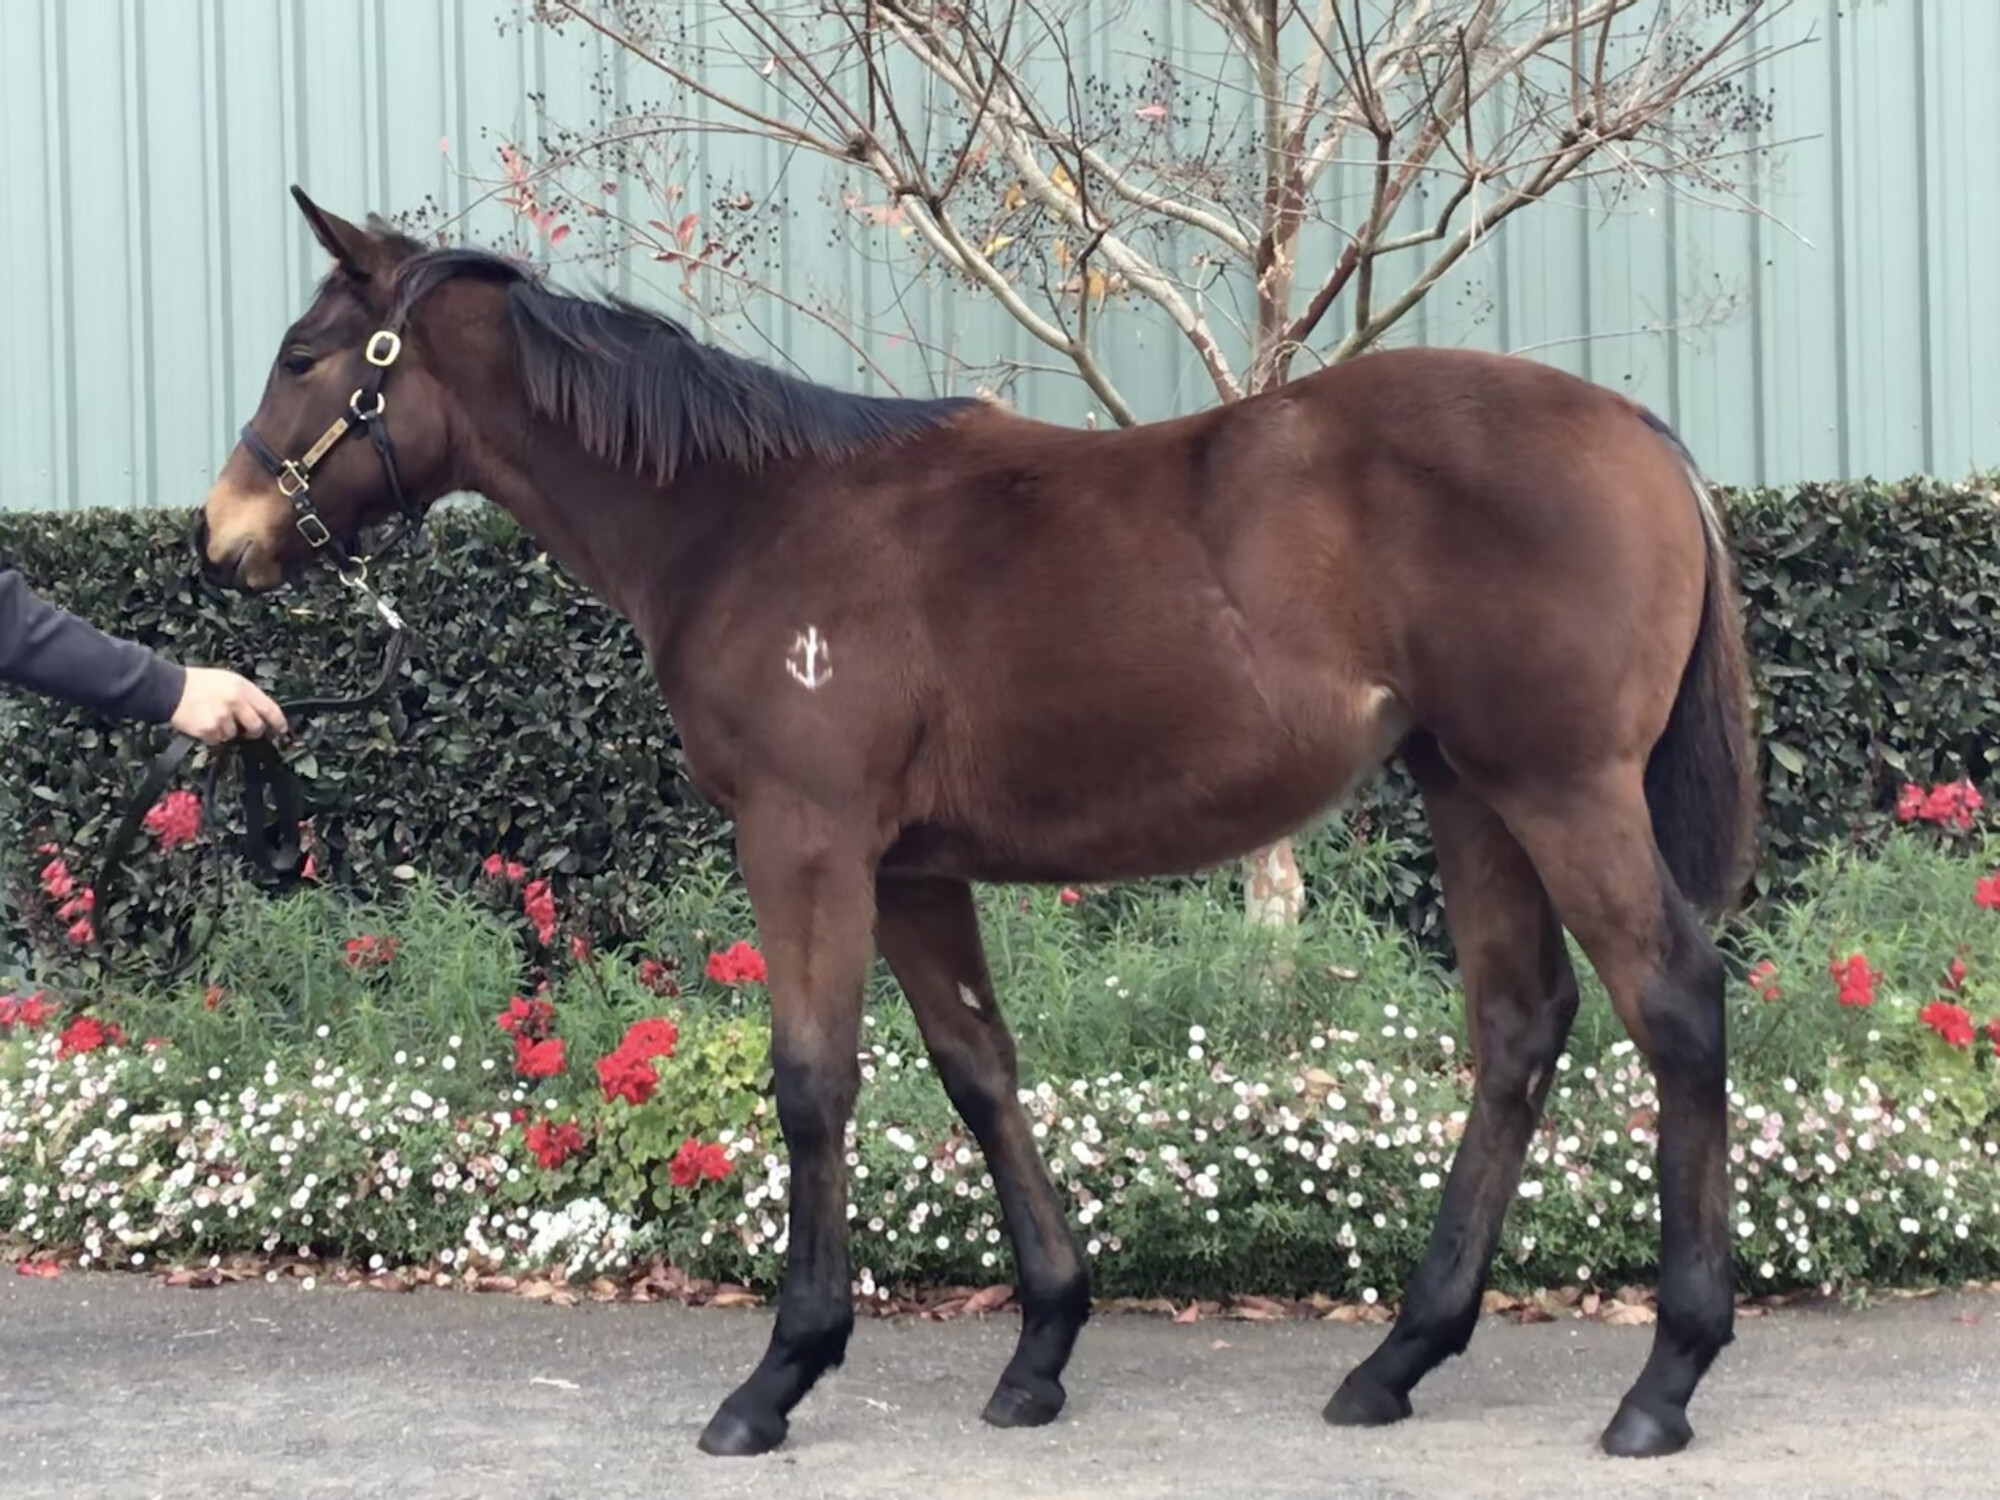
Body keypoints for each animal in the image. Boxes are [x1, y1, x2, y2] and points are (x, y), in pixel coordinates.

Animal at [198, 187, 1758, 1463]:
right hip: (1468, 788)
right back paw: (1398, 1359)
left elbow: (813, 1083)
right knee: (1519, 1026)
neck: (747, 520)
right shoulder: (909, 872)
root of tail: (1641, 433)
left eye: (302, 357)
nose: (222, 540)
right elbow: (977, 1071)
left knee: (1672, 1002)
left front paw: (779, 1376)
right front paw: (1039, 1352)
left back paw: (1665, 1380)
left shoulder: (807, 842)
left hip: (1559, 786)